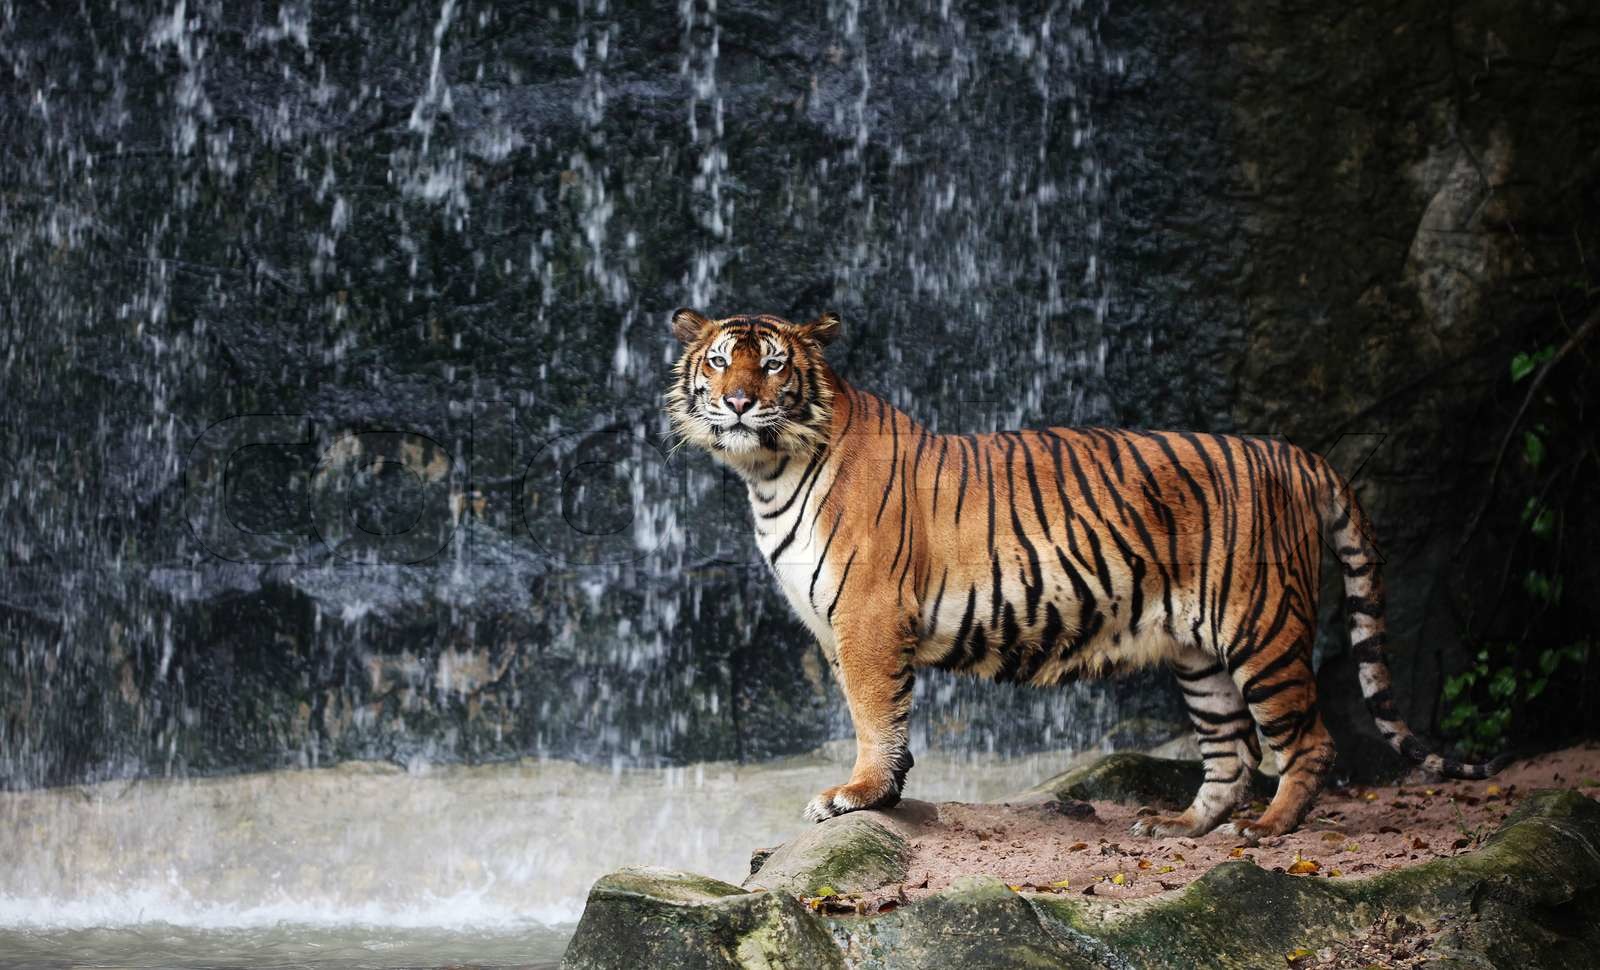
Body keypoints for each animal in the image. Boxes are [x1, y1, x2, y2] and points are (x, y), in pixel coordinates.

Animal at [664, 307, 1507, 840]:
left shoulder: (866, 617)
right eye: (721, 360)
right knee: (1230, 752)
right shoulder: (840, 627)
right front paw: (888, 793)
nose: (737, 402)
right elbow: (889, 719)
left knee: (1308, 743)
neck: (768, 471)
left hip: (1262, 628)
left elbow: (874, 715)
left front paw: (857, 795)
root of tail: (1295, 453)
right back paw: (1182, 826)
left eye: (774, 364)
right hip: (1200, 655)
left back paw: (1267, 830)